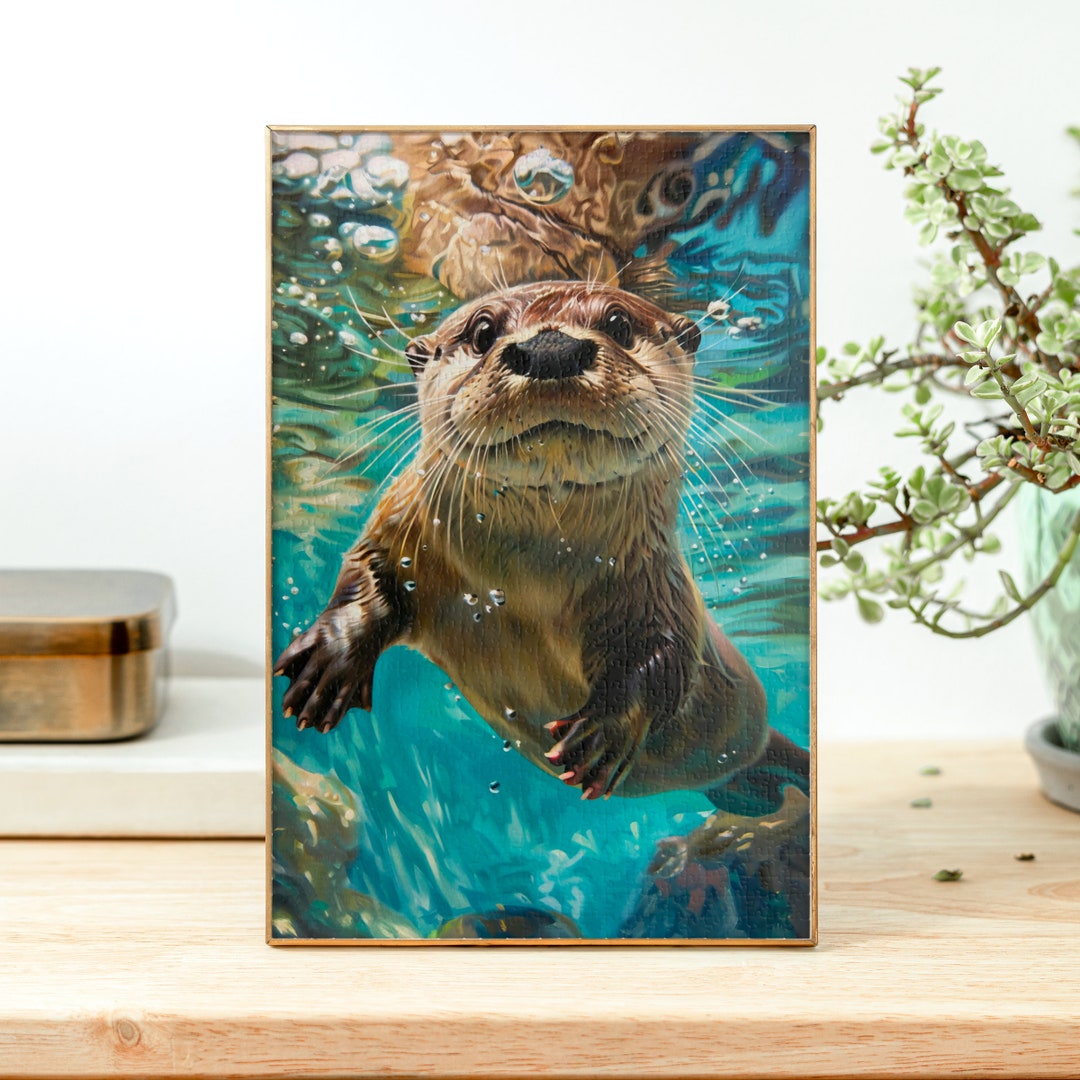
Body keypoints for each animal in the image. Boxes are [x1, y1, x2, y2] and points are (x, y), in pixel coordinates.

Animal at [275, 280, 780, 801]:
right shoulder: (404, 529)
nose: (551, 348)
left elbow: (663, 660)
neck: (528, 581)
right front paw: (328, 662)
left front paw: (603, 732)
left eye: (619, 324)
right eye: (482, 331)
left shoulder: (659, 588)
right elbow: (367, 572)